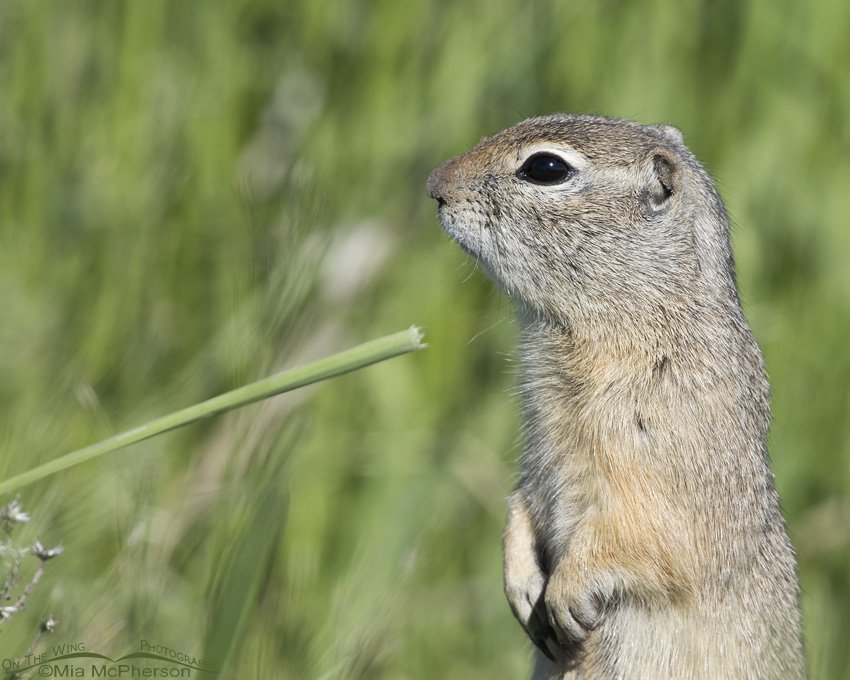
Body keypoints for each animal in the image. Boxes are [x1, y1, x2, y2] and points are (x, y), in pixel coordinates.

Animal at [427, 114, 805, 679]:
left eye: (546, 167)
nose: (435, 185)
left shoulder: (661, 443)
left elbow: (643, 534)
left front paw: (564, 596)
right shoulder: (538, 453)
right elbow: (520, 502)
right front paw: (521, 586)